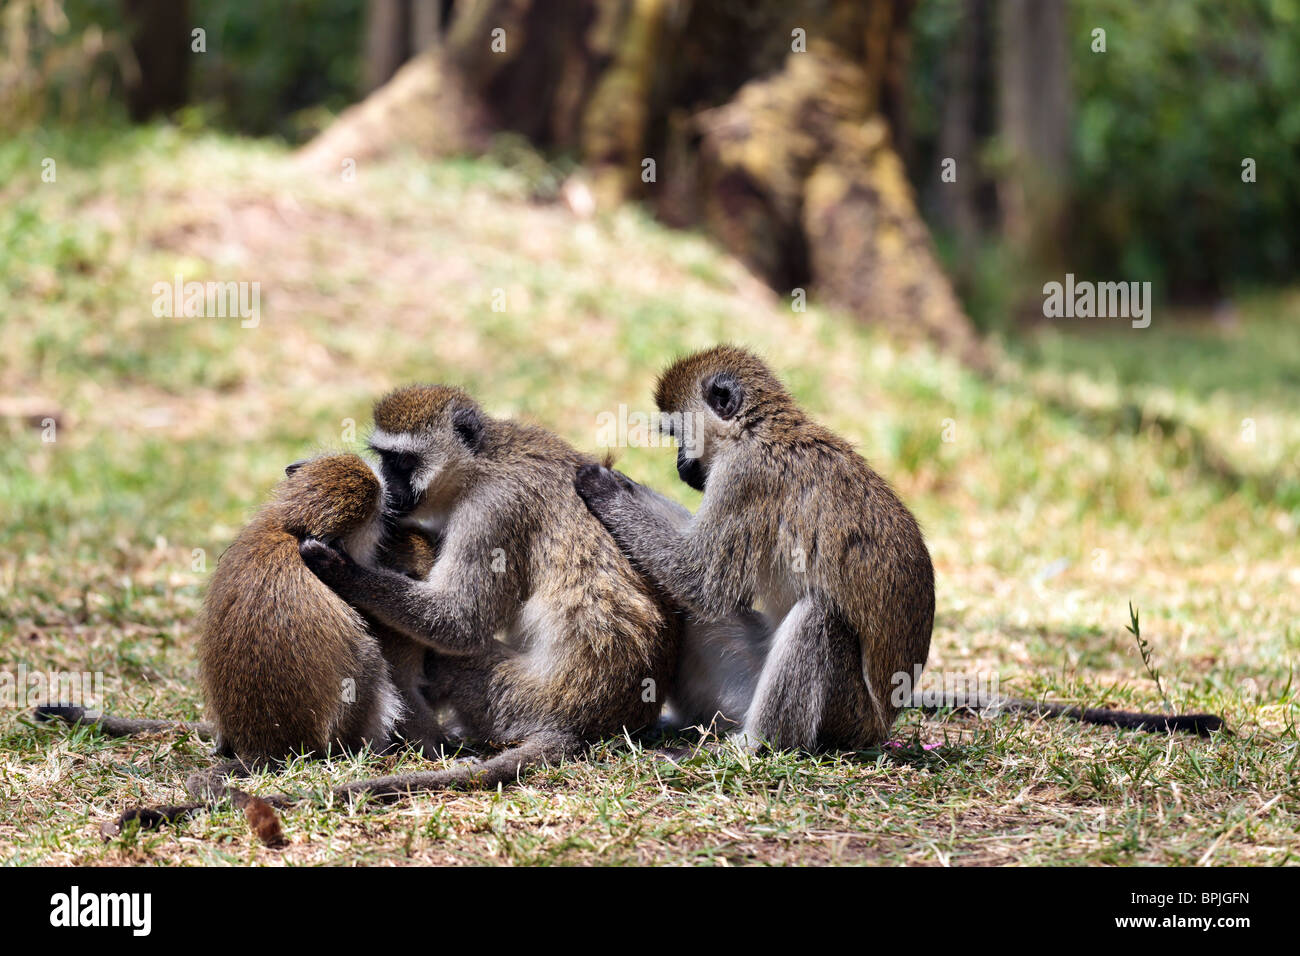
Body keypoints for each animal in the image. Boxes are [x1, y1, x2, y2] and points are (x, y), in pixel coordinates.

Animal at [288, 384, 683, 802]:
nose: (388, 489)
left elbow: (461, 622)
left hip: (515, 698)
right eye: (384, 458)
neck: (481, 463)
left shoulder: (492, 510)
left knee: (449, 659)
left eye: (403, 462)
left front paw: (341, 568)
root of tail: (585, 727)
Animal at [574, 345, 1226, 752]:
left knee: (819, 620)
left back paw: (754, 747)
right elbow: (697, 580)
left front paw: (600, 485)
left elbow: (703, 579)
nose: (681, 467)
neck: (763, 428)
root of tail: (887, 715)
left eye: (677, 433)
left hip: (845, 713)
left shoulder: (745, 479)